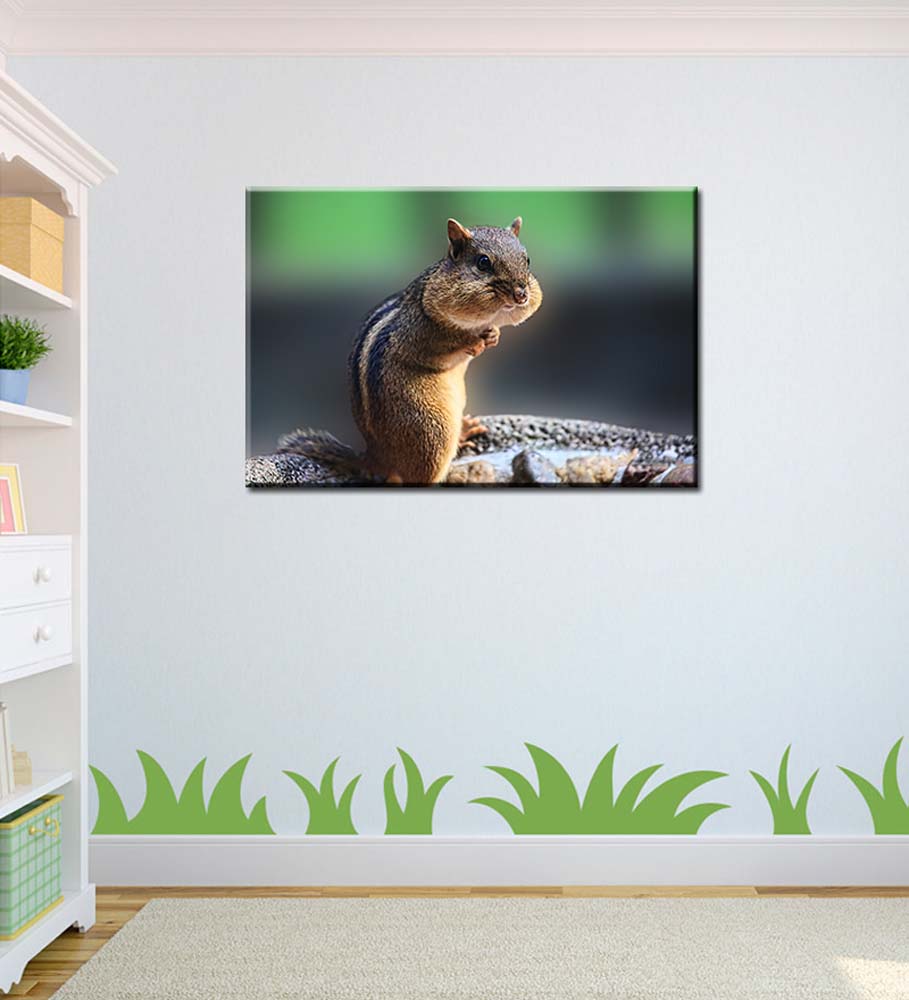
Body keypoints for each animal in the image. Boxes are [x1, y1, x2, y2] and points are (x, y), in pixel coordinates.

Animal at [279, 216, 543, 484]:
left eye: (527, 260)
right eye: (483, 262)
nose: (521, 294)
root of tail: (375, 457)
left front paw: (493, 336)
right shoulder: (419, 333)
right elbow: (446, 342)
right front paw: (473, 342)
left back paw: (466, 430)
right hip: (431, 431)